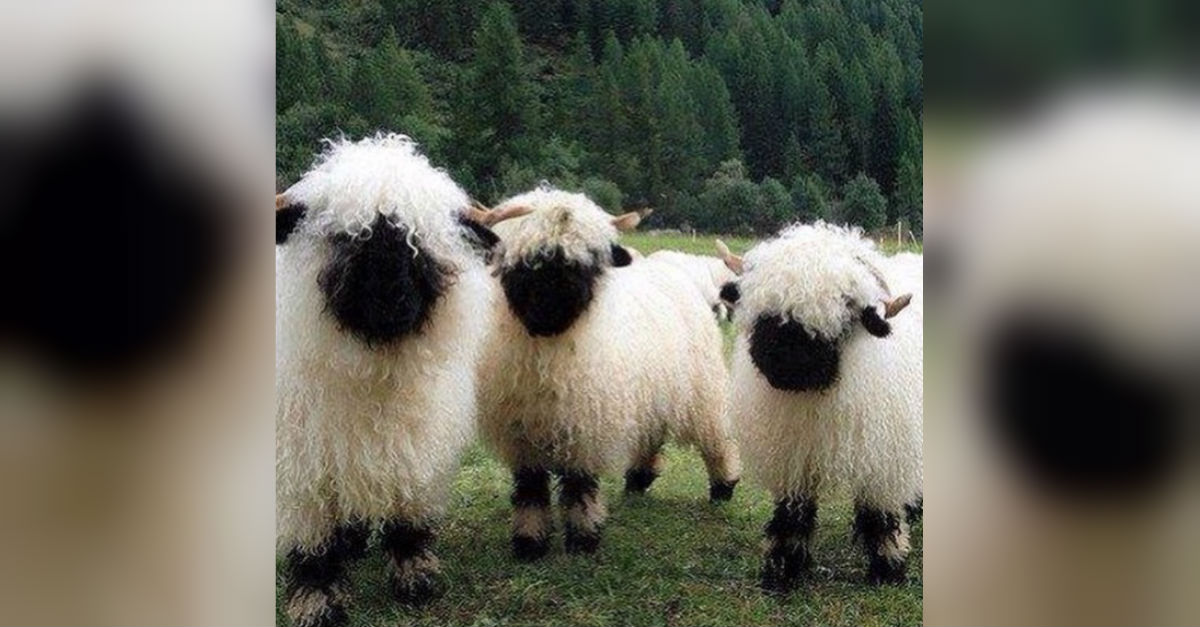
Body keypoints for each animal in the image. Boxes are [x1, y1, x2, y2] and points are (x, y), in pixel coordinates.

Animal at [275, 134, 503, 626]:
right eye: (343, 236)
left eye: (423, 238)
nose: (389, 300)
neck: (374, 370)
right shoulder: (302, 462)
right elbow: (312, 542)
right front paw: (317, 601)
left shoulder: (416, 447)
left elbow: (409, 515)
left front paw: (416, 577)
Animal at [476, 187, 741, 560]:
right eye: (526, 261)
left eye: (586, 261)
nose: (548, 311)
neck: (549, 352)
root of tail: (668, 267)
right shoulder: (521, 431)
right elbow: (530, 489)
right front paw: (529, 542)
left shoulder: (586, 426)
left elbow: (579, 485)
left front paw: (583, 539)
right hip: (650, 392)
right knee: (652, 433)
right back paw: (638, 480)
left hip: (701, 387)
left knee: (716, 437)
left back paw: (723, 486)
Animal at [715, 222, 921, 591]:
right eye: (767, 307)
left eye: (844, 308)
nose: (785, 362)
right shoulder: (794, 456)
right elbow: (792, 514)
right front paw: (783, 570)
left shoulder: (882, 456)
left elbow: (879, 514)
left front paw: (888, 569)